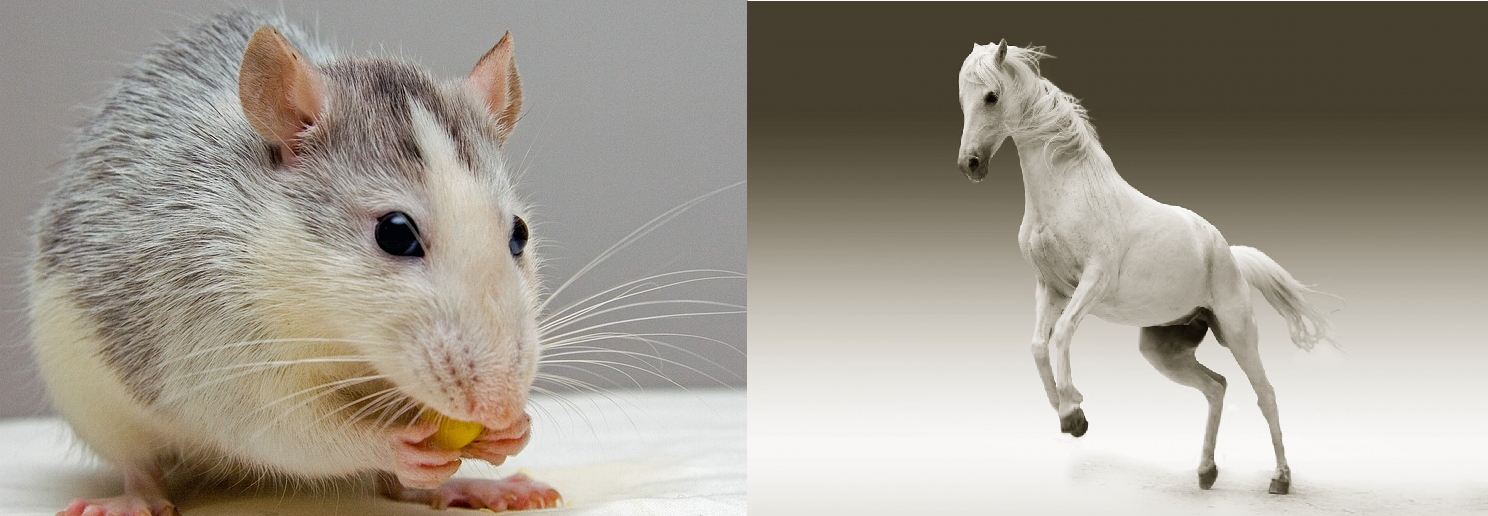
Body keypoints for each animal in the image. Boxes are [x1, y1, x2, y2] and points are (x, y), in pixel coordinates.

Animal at [956, 40, 1336, 495]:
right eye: (962, 99)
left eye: (991, 96)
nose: (970, 164)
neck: (1069, 192)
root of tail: (1228, 253)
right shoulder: (1050, 288)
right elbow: (1036, 346)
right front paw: (1068, 412)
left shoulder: (1093, 282)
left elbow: (1061, 334)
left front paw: (1074, 412)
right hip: (1163, 349)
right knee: (1216, 387)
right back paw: (1206, 472)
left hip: (1239, 334)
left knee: (1266, 394)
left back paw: (1280, 479)